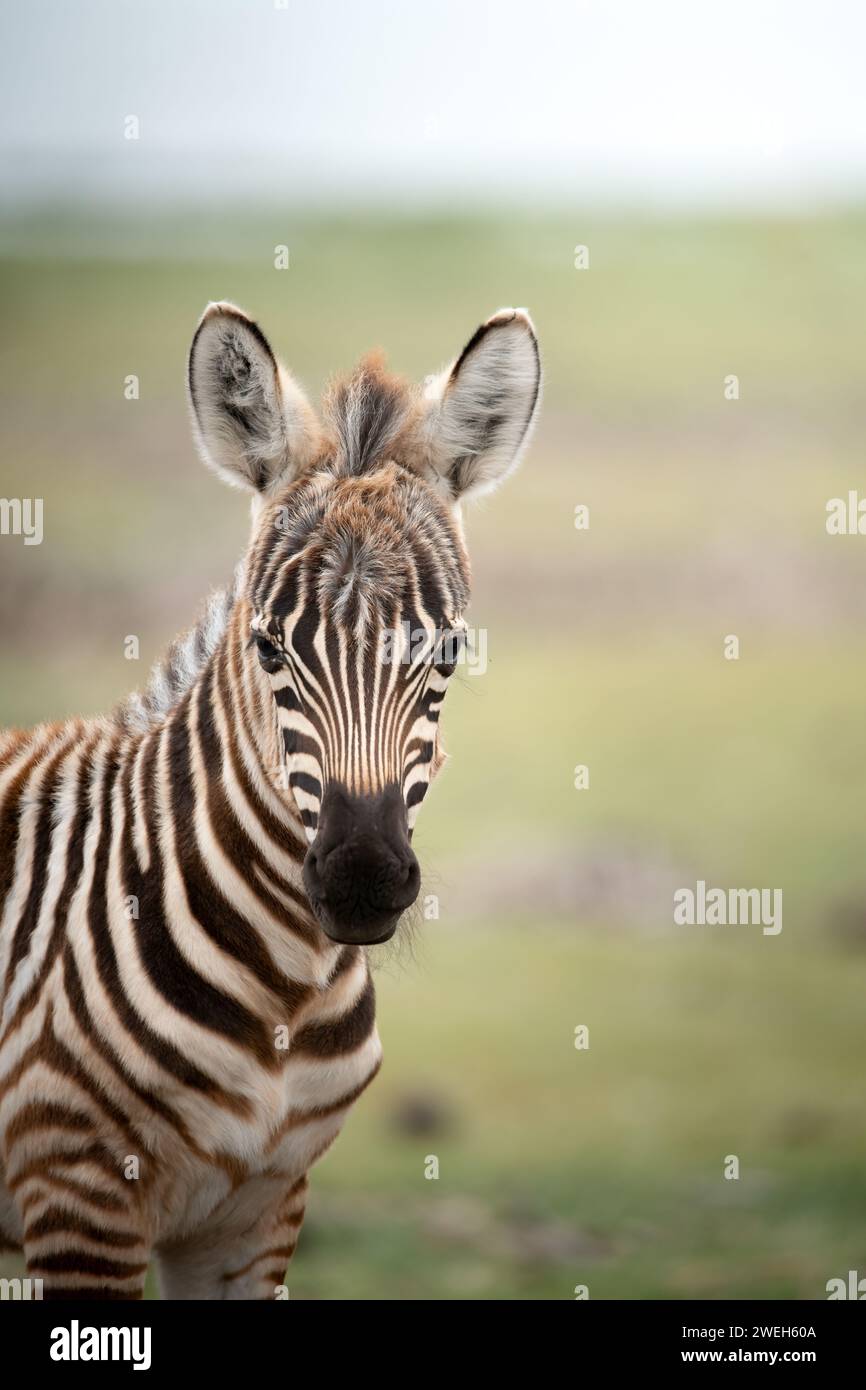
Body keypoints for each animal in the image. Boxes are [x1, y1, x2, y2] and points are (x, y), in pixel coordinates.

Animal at [0, 301, 541, 1300]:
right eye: (268, 648)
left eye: (448, 652)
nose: (362, 878)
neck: (284, 996)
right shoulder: (79, 1189)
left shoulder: (258, 1208)